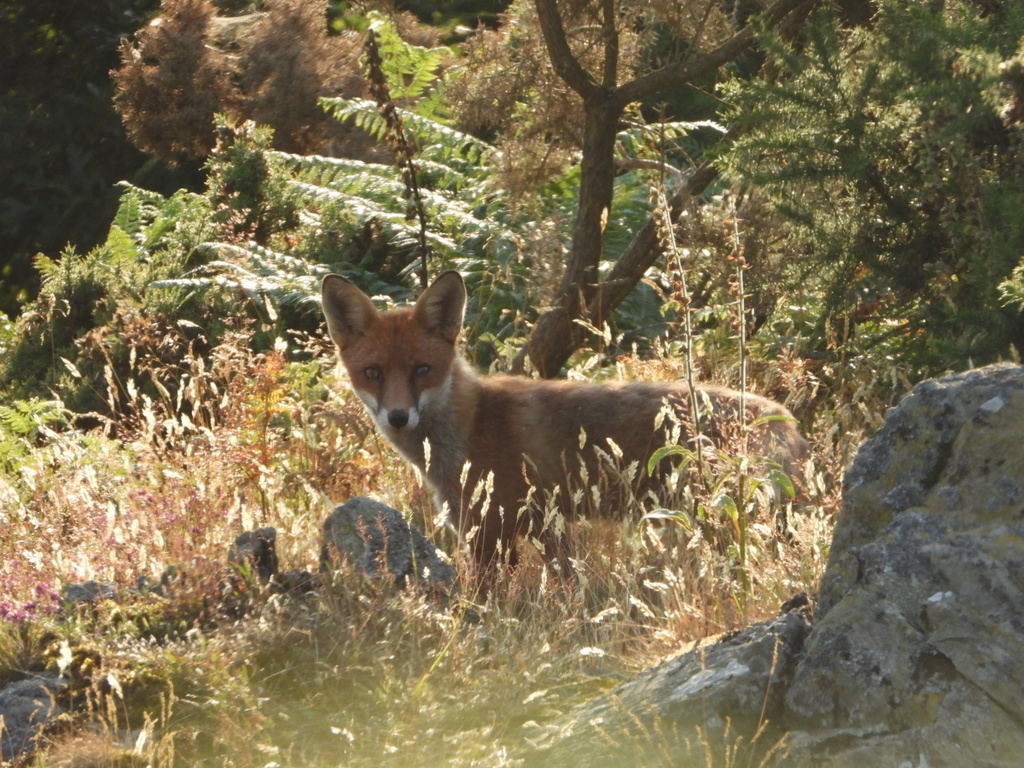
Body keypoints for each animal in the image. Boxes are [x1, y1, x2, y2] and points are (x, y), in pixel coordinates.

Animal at [321, 270, 807, 572]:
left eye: (422, 370)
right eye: (373, 373)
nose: (398, 417)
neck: (470, 428)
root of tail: (784, 417)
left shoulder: (495, 533)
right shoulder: (536, 529)